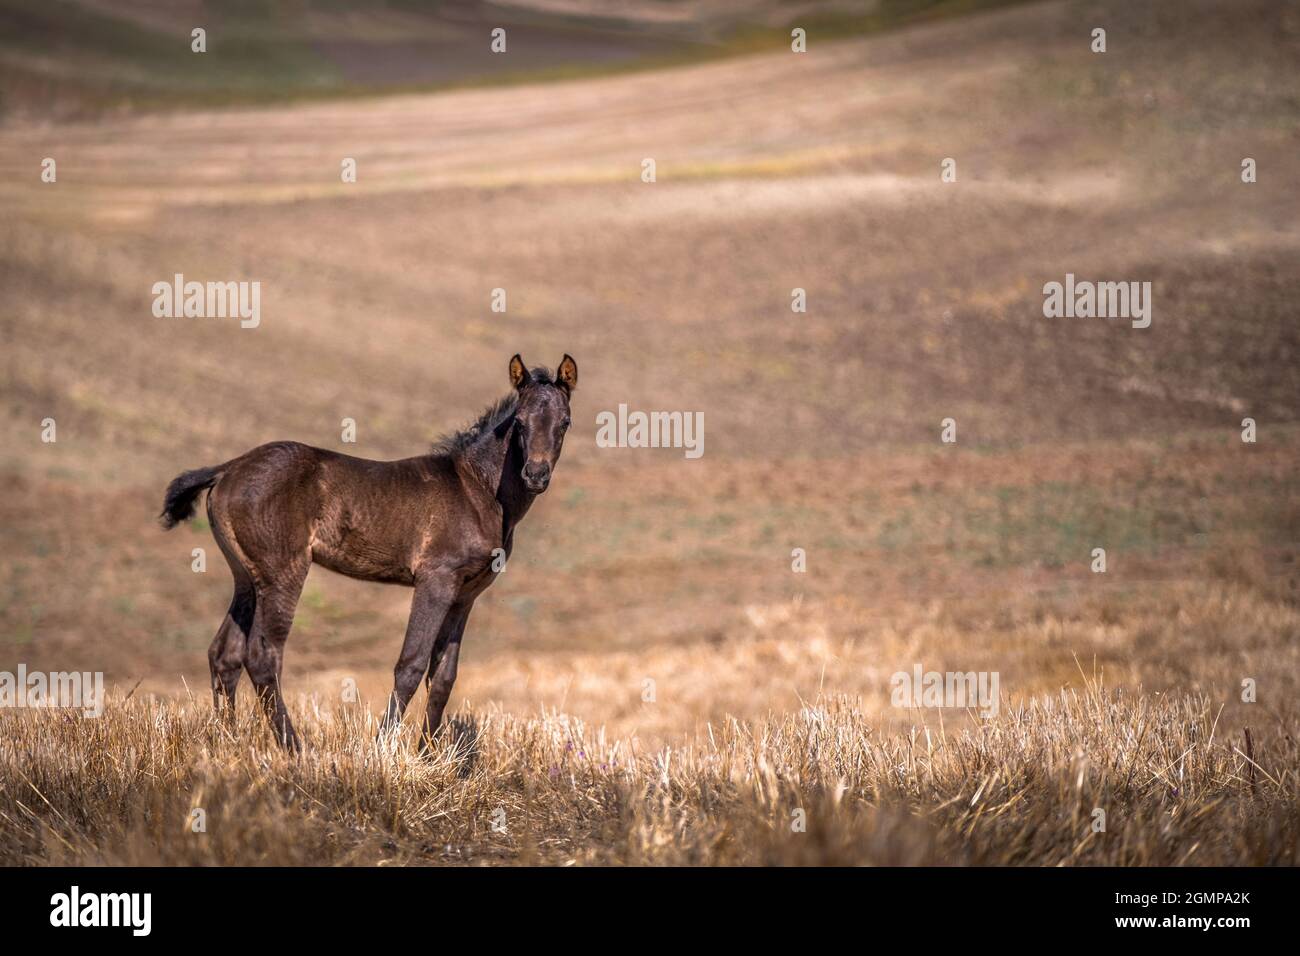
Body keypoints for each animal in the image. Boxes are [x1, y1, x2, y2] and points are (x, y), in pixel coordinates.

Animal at [160, 353, 577, 751]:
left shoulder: (465, 595)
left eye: (565, 422)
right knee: (262, 655)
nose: (535, 475)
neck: (478, 489)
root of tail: (227, 469)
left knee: (224, 653)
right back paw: (295, 749)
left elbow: (443, 676)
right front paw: (384, 750)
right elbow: (411, 665)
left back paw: (225, 740)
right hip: (282, 573)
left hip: (246, 578)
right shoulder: (436, 580)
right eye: (519, 422)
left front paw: (429, 755)